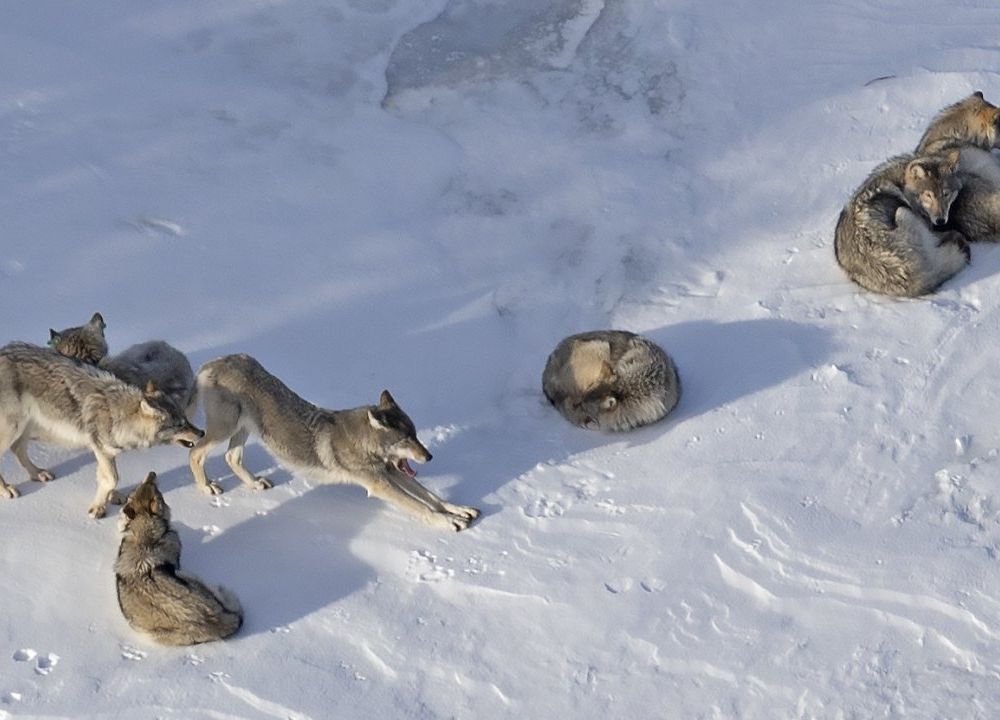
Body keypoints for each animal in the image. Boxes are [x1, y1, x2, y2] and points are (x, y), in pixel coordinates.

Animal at [0, 342, 204, 517]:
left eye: (185, 420)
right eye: (179, 425)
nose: (202, 433)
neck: (118, 415)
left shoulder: (104, 452)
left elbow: (105, 478)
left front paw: (111, 498)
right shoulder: (100, 449)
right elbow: (112, 478)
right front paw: (97, 508)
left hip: (25, 427)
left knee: (18, 449)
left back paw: (38, 474)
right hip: (13, 429)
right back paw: (7, 489)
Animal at [188, 354, 480, 532]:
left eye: (416, 434)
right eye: (405, 439)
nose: (429, 457)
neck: (365, 444)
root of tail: (212, 363)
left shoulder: (391, 472)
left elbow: (432, 496)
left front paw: (458, 510)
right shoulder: (380, 484)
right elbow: (421, 506)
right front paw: (447, 523)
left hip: (243, 429)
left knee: (232, 457)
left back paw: (254, 484)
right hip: (225, 430)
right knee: (196, 453)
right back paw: (206, 488)